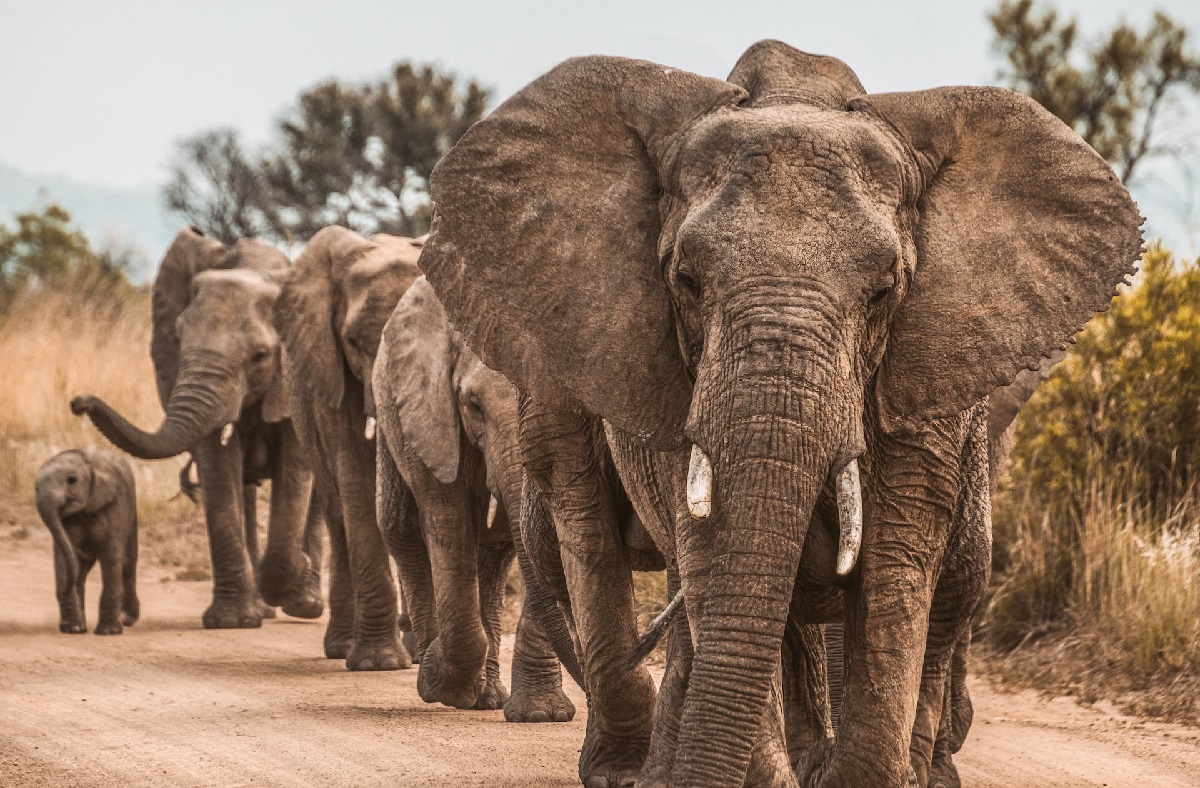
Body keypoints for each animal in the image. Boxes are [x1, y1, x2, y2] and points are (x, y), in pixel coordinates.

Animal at [35, 446, 139, 635]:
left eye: (72, 480)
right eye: (35, 487)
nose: (61, 590)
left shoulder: (116, 504)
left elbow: (111, 555)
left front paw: (108, 632)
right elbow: (64, 554)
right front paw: (73, 629)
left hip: (132, 511)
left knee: (128, 563)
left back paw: (126, 619)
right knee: (81, 570)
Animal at [71, 228, 320, 630]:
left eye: (260, 356)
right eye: (177, 340)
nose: (78, 401)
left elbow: (296, 470)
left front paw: (294, 575)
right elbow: (217, 468)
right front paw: (232, 622)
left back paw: (306, 604)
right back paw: (264, 608)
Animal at [273, 225, 422, 670]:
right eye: (353, 341)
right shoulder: (329, 371)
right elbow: (356, 477)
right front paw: (379, 663)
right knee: (338, 513)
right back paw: (342, 647)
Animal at [373, 275, 578, 718]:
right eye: (473, 405)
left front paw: (542, 715)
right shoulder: (431, 413)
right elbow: (449, 522)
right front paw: (438, 682)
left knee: (495, 557)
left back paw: (487, 698)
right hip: (390, 415)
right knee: (403, 532)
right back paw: (435, 670)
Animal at [416, 40, 1142, 787]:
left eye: (884, 291)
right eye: (685, 281)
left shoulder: (929, 366)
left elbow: (896, 559)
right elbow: (714, 548)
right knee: (595, 528)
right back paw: (634, 768)